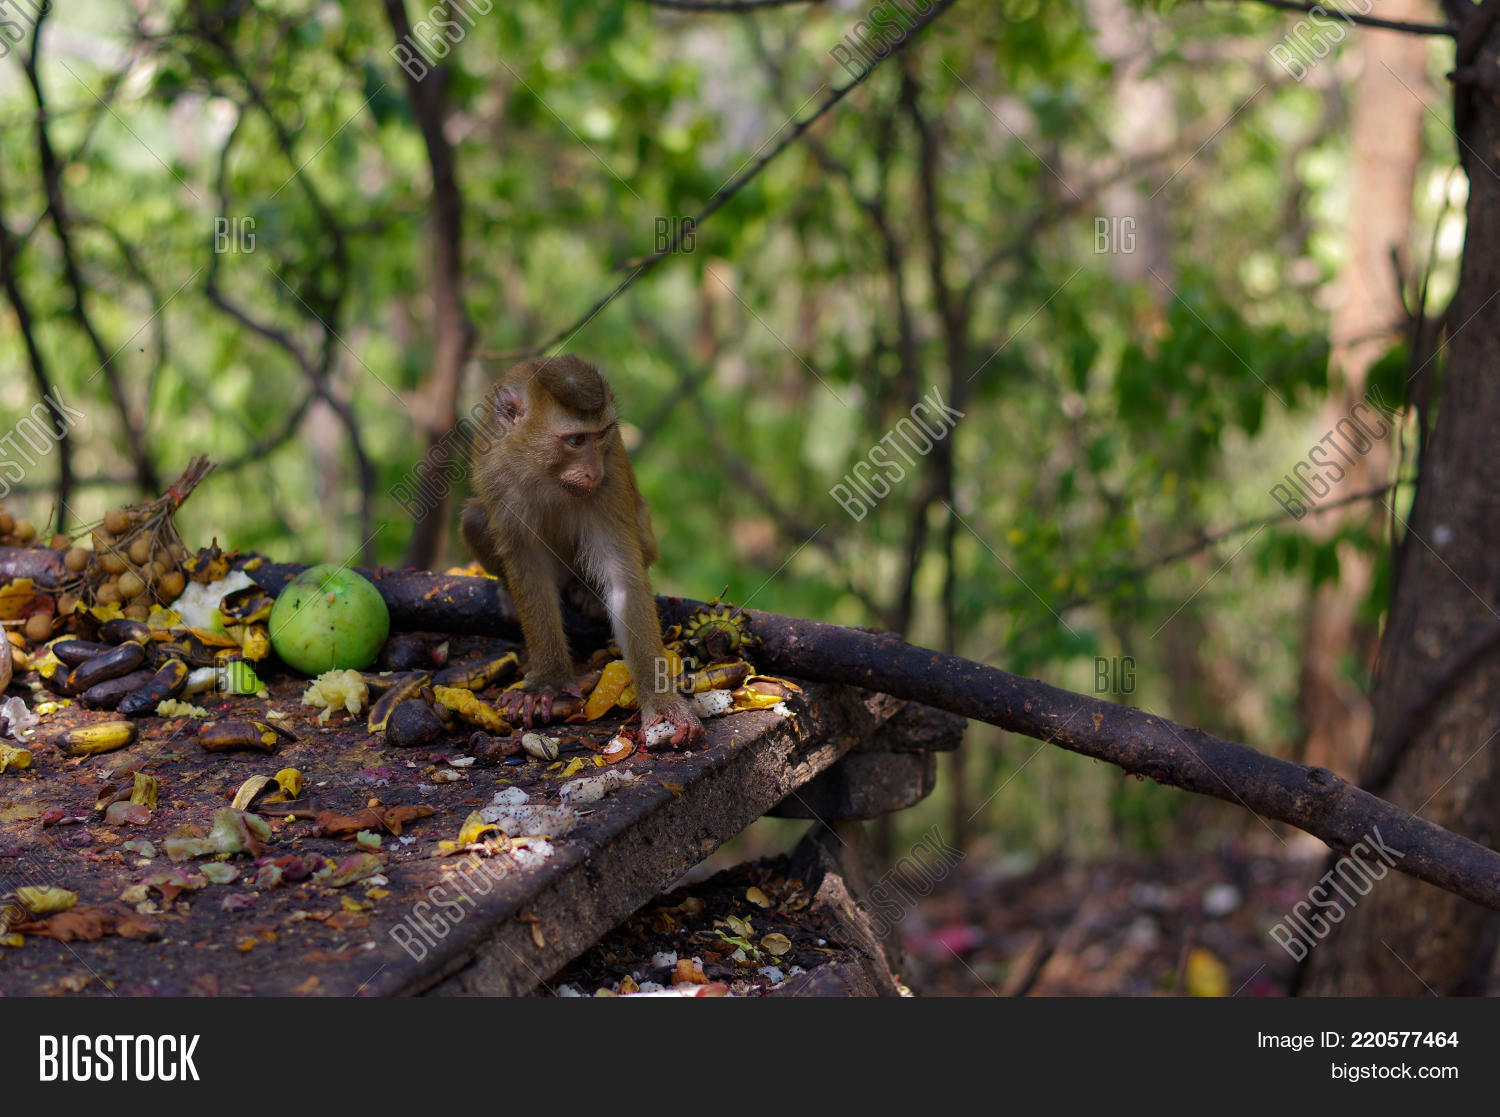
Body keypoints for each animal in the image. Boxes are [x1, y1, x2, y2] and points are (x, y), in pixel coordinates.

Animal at [460, 354, 705, 747]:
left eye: (601, 434)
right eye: (575, 440)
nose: (592, 471)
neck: (543, 470)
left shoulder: (610, 478)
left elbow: (623, 583)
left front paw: (662, 703)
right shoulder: (498, 476)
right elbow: (529, 571)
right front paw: (548, 681)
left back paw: (586, 592)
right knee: (474, 518)